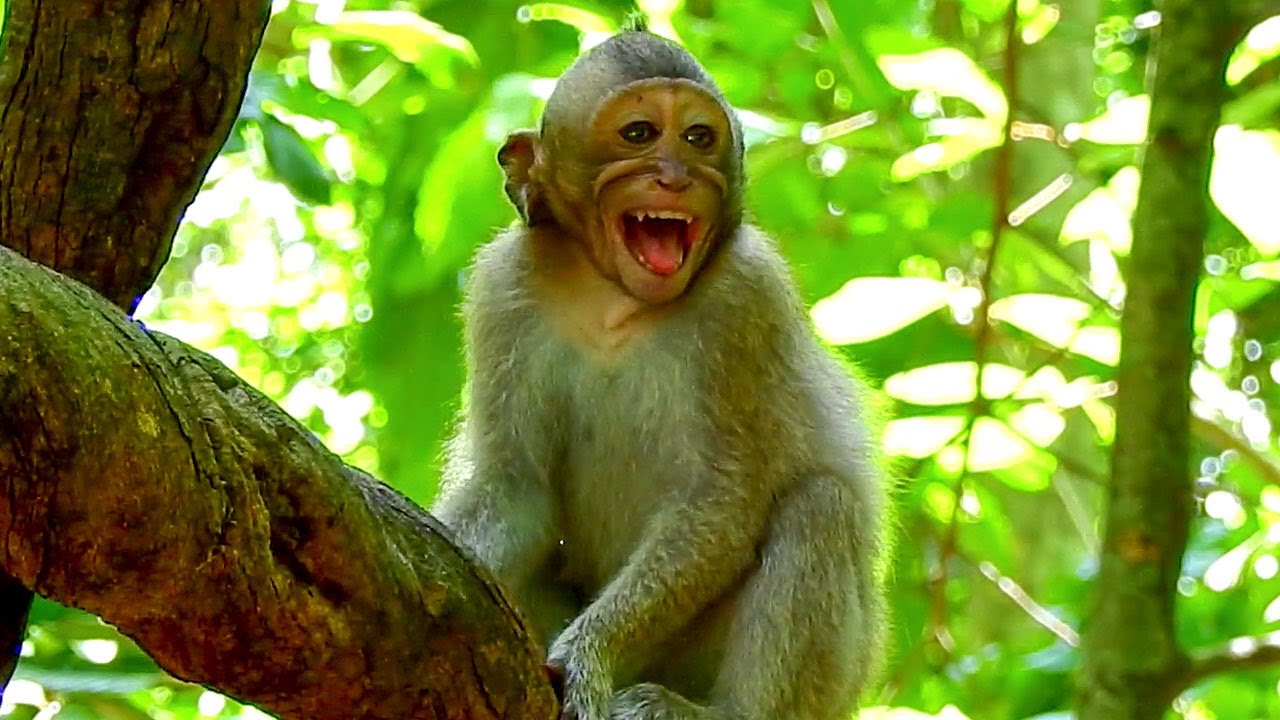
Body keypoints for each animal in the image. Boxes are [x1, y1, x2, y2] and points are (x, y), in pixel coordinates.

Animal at [431, 29, 890, 720]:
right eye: (640, 134)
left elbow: (720, 502)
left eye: (699, 138)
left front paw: (591, 652)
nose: (675, 178)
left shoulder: (747, 296)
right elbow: (515, 488)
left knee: (820, 506)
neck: (613, 299)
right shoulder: (501, 290)